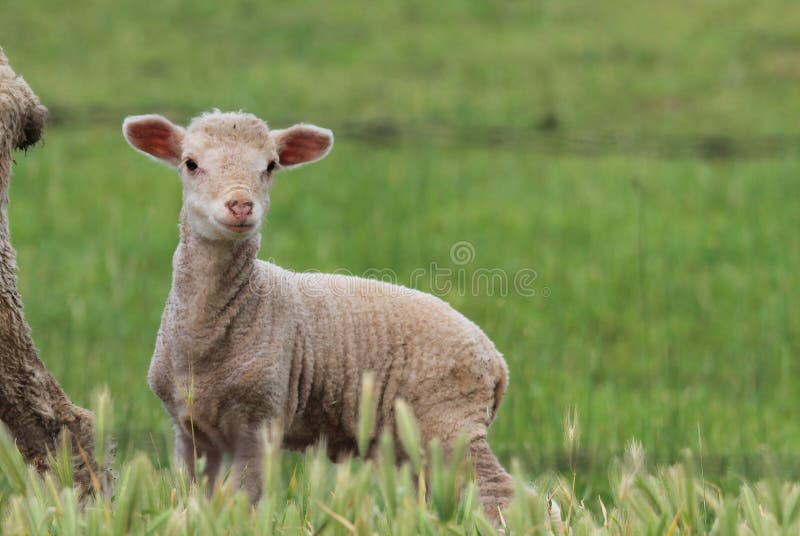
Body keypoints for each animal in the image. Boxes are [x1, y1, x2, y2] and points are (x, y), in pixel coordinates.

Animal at [122, 110, 515, 521]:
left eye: (270, 166)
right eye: (191, 163)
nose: (241, 205)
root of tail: (496, 360)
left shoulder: (259, 422)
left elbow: (244, 500)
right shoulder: (188, 430)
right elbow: (190, 498)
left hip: (450, 422)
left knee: (498, 491)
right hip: (415, 440)